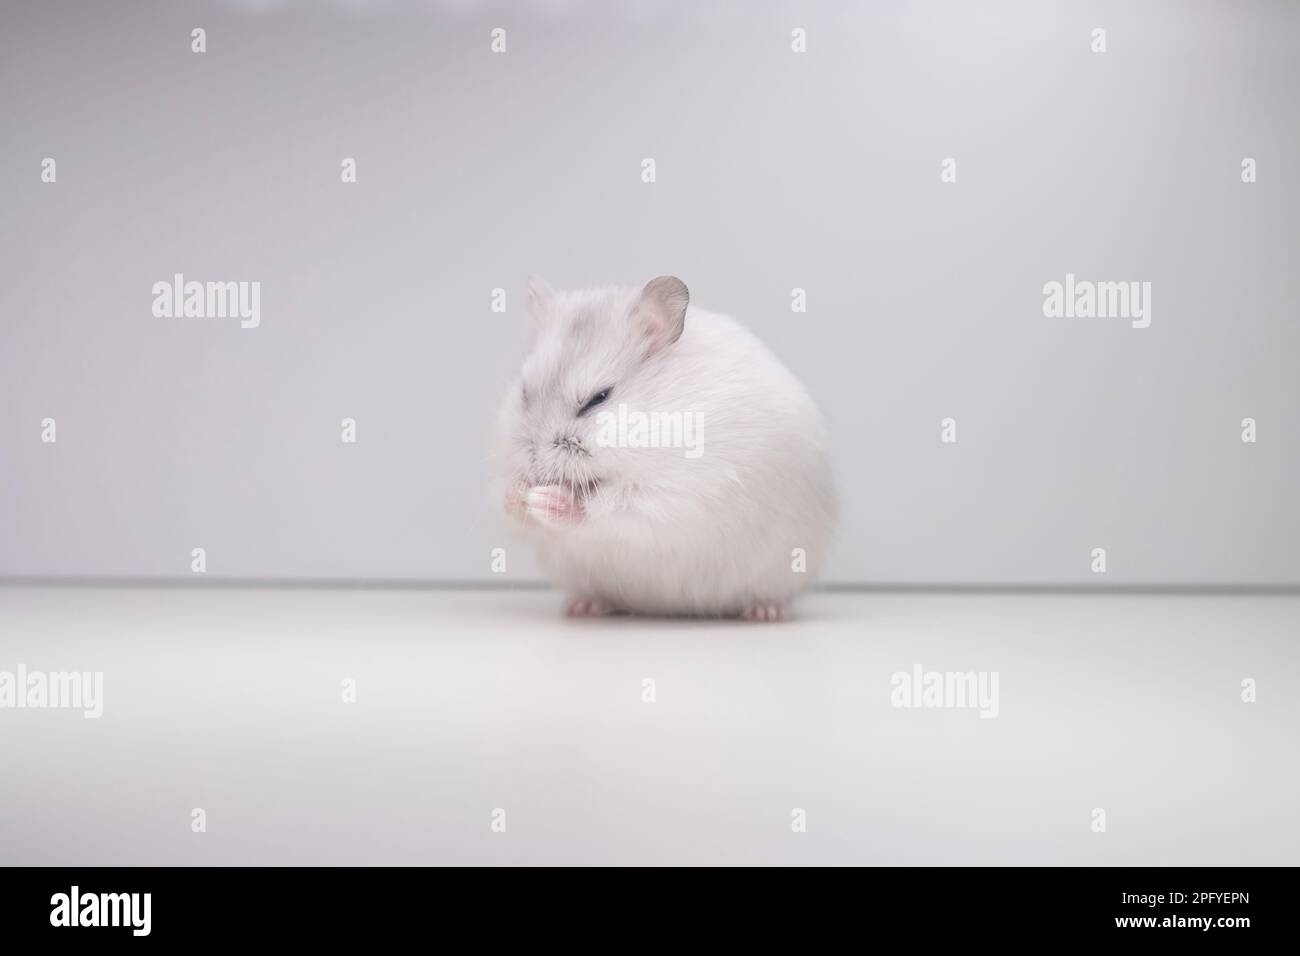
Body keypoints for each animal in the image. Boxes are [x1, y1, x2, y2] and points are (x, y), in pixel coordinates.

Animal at [493, 275, 836, 620]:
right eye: (525, 394)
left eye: (598, 398)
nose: (534, 465)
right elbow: (514, 516)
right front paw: (517, 495)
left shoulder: (677, 495)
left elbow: (611, 506)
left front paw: (545, 499)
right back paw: (584, 607)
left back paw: (765, 612)